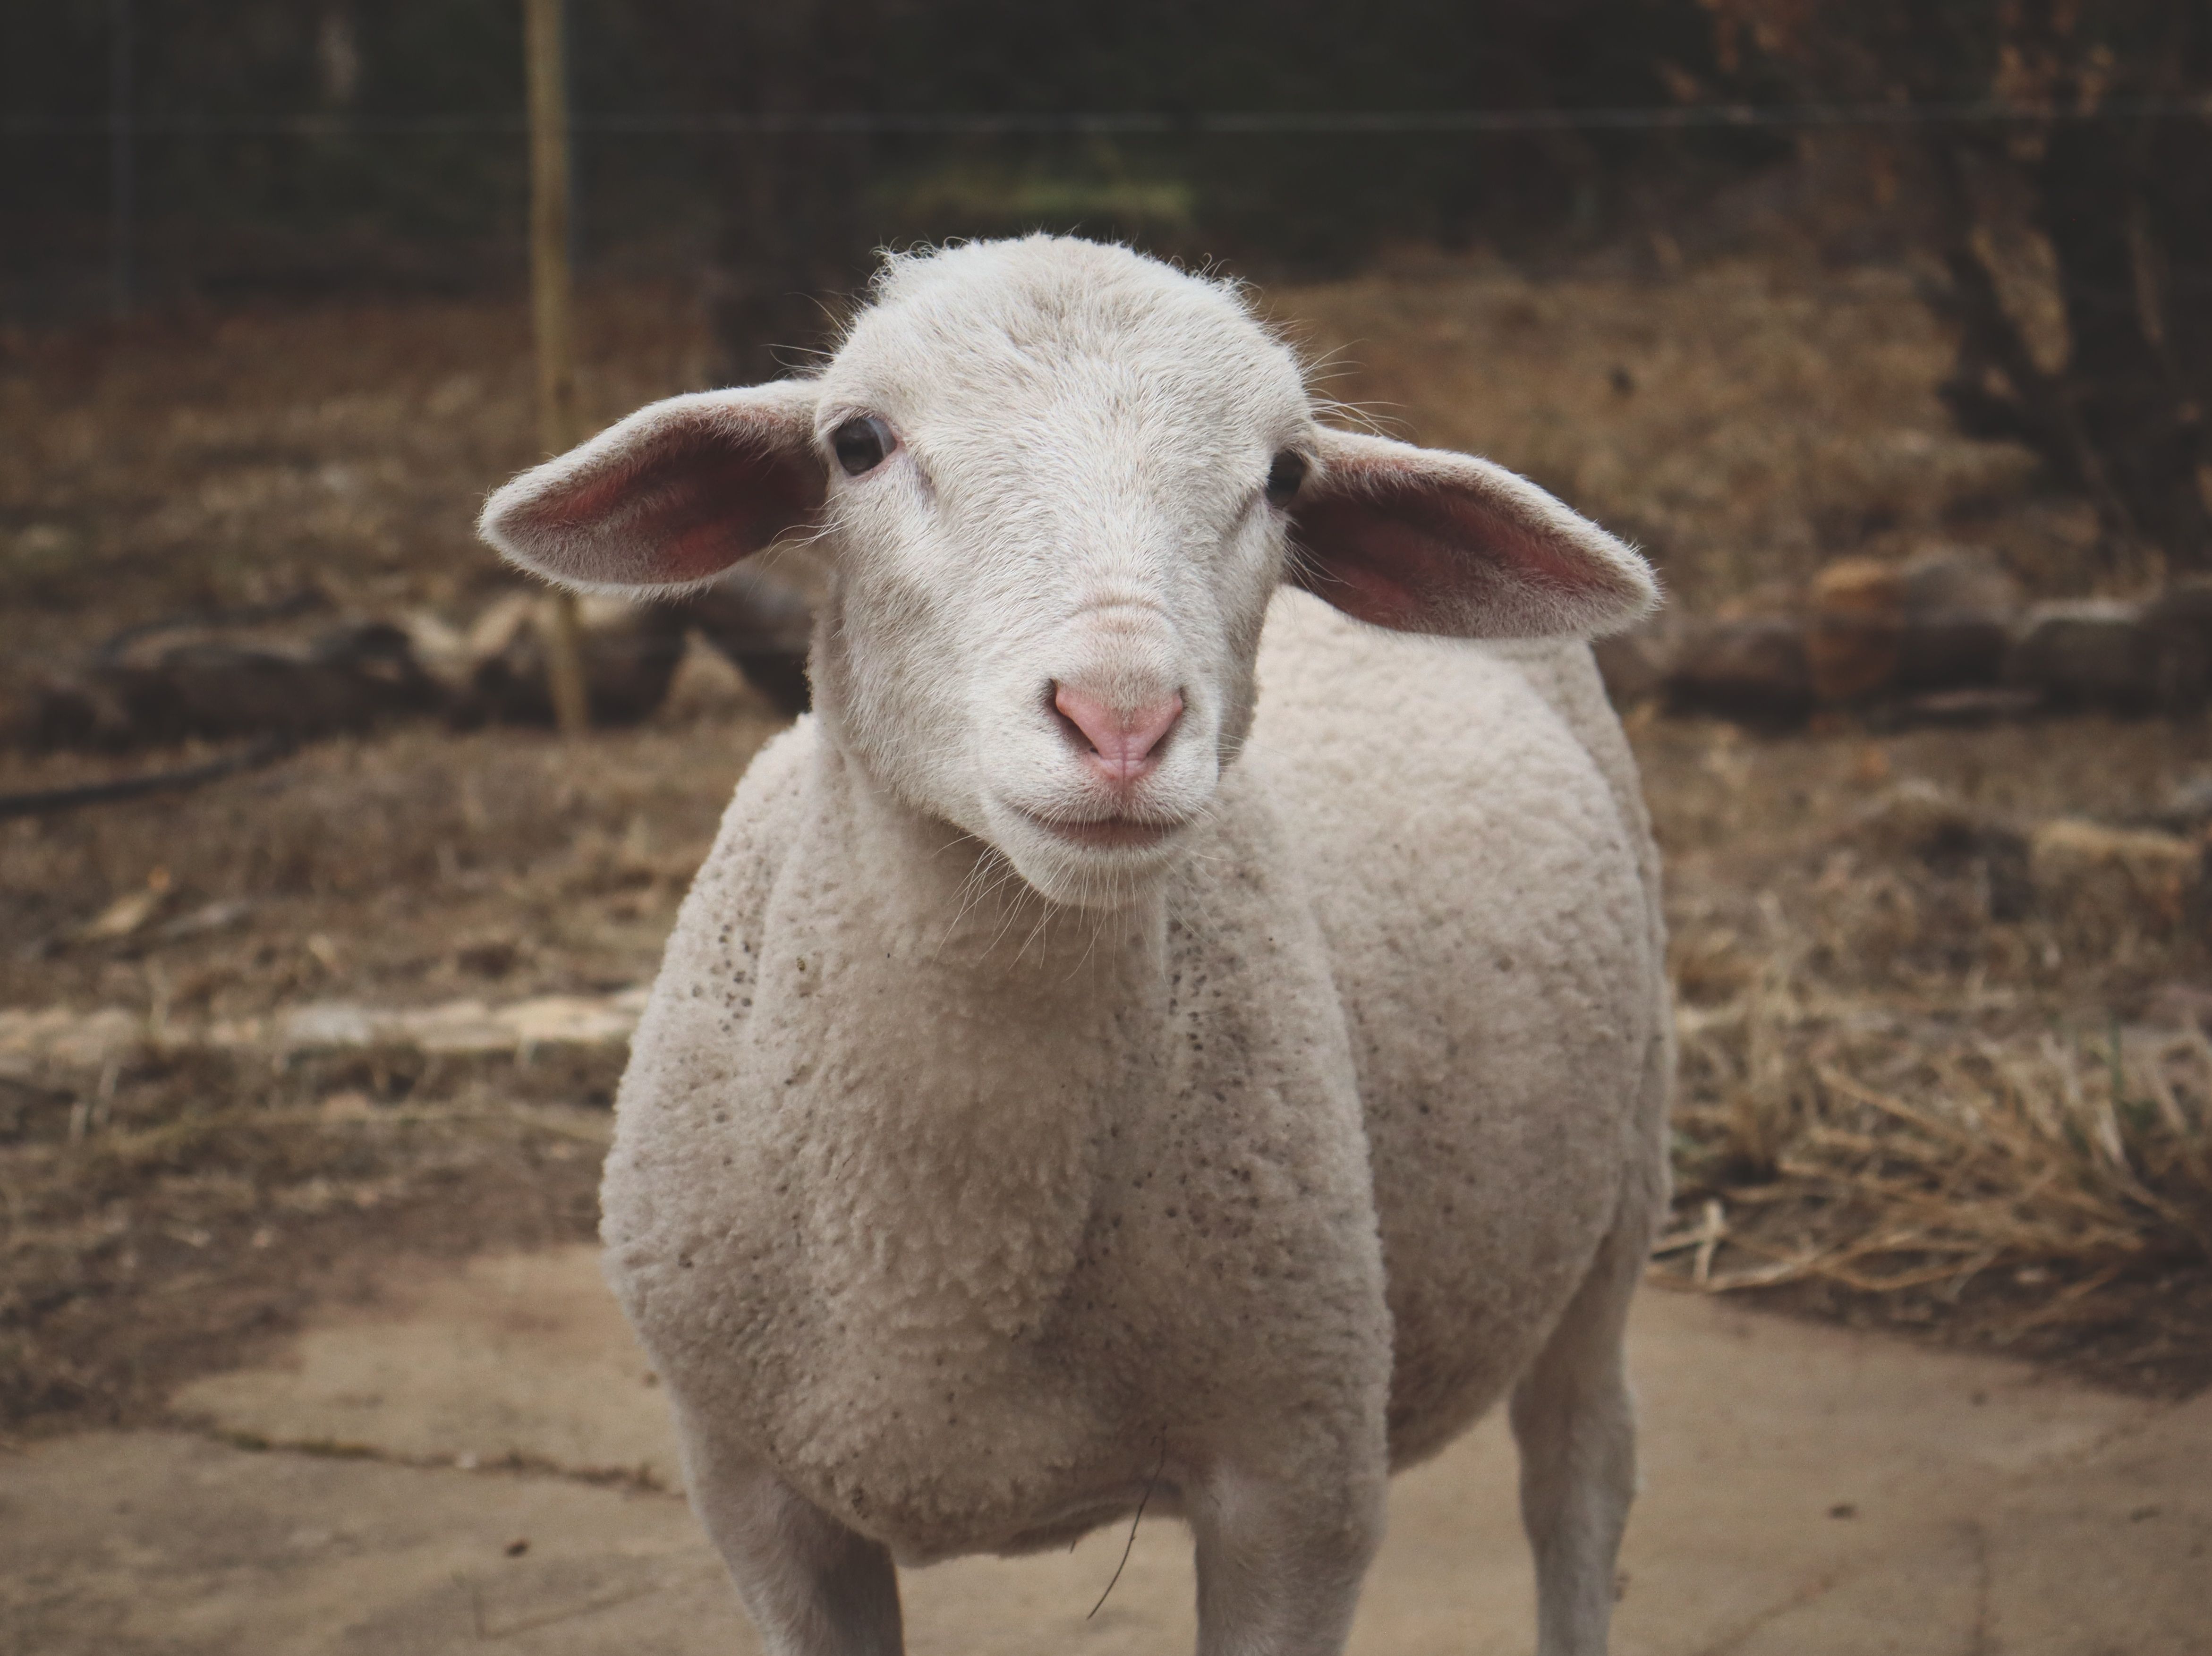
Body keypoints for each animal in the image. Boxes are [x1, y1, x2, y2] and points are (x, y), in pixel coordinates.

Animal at [479, 235, 1670, 1656]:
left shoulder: (1302, 1474)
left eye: (1285, 476)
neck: (940, 1278)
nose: (1121, 719)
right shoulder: (753, 1495)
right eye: (857, 443)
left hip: (1620, 1189)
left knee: (1580, 1476)